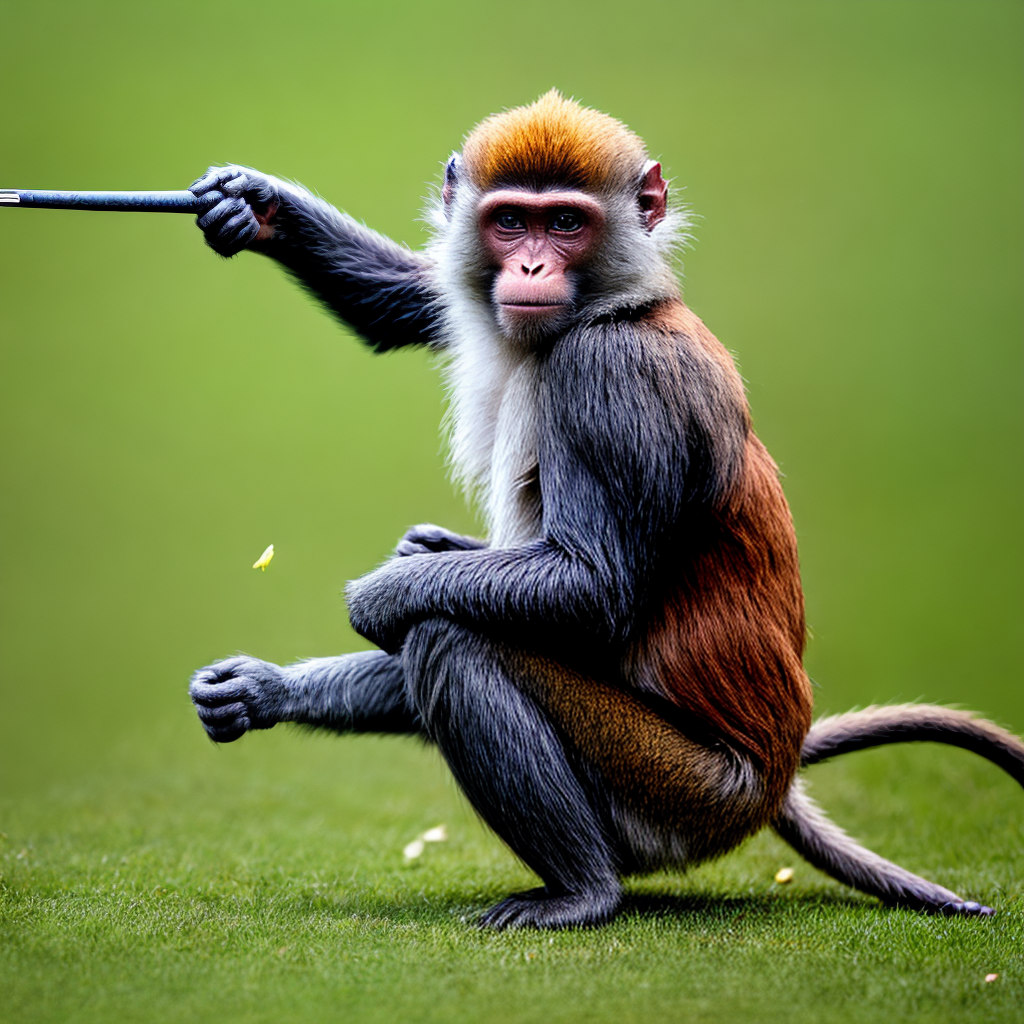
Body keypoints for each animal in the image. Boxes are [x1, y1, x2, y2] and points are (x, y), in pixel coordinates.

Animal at [188, 91, 1024, 930]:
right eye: (510, 222)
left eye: (565, 223)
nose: (529, 267)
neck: (616, 305)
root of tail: (774, 778)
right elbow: (417, 296)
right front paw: (258, 207)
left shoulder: (610, 382)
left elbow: (591, 587)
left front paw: (379, 596)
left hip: (675, 789)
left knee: (454, 639)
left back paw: (584, 889)